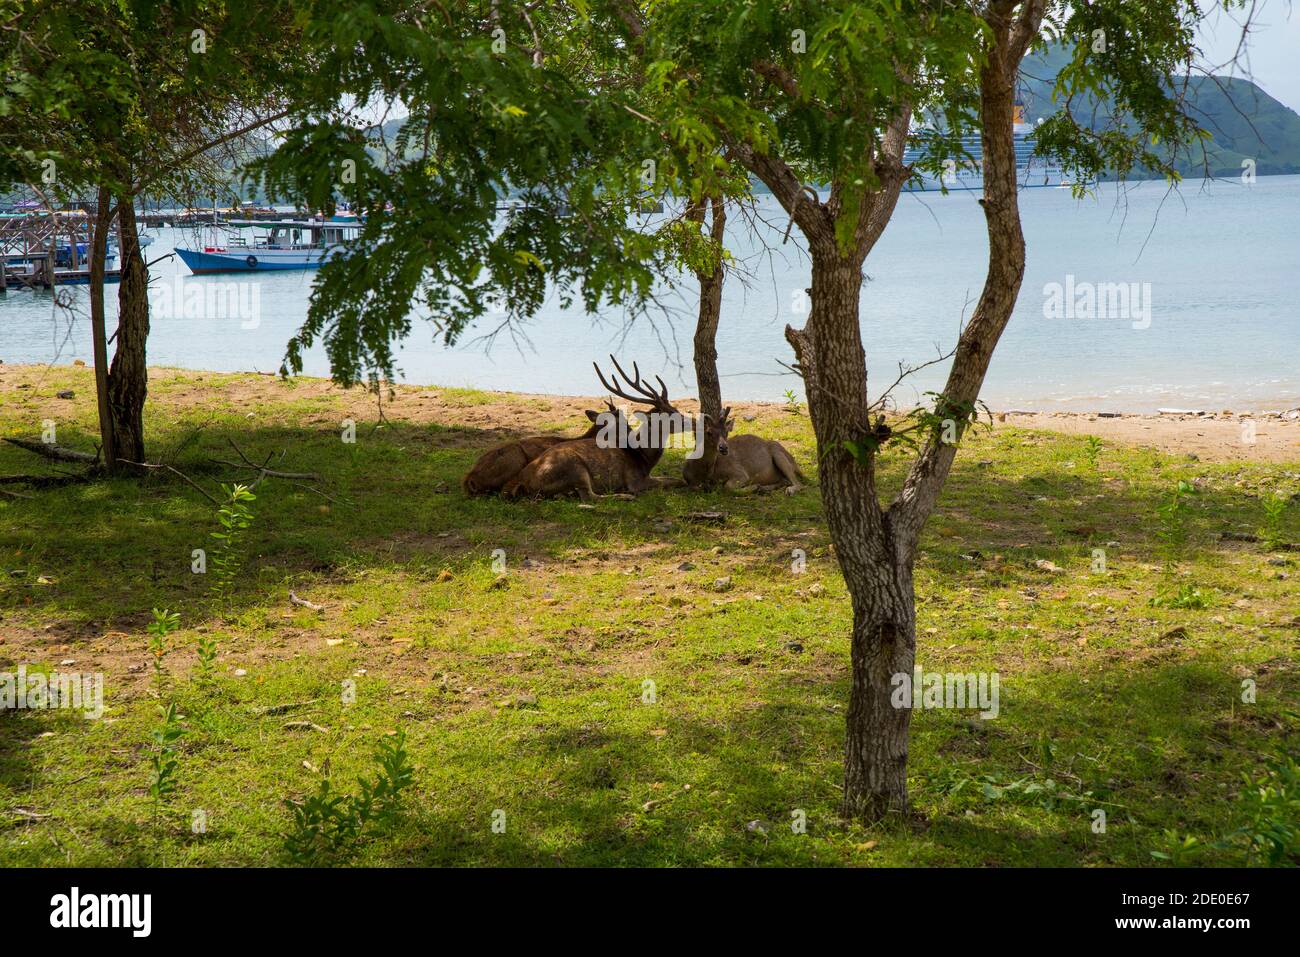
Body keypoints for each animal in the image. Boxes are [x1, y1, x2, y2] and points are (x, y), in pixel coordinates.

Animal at [501, 356, 689, 500]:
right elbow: (678, 481)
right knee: (589, 496)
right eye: (669, 414)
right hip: (575, 469)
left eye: (675, 409)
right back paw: (624, 496)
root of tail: (523, 481)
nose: (690, 421)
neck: (643, 459)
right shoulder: (634, 480)